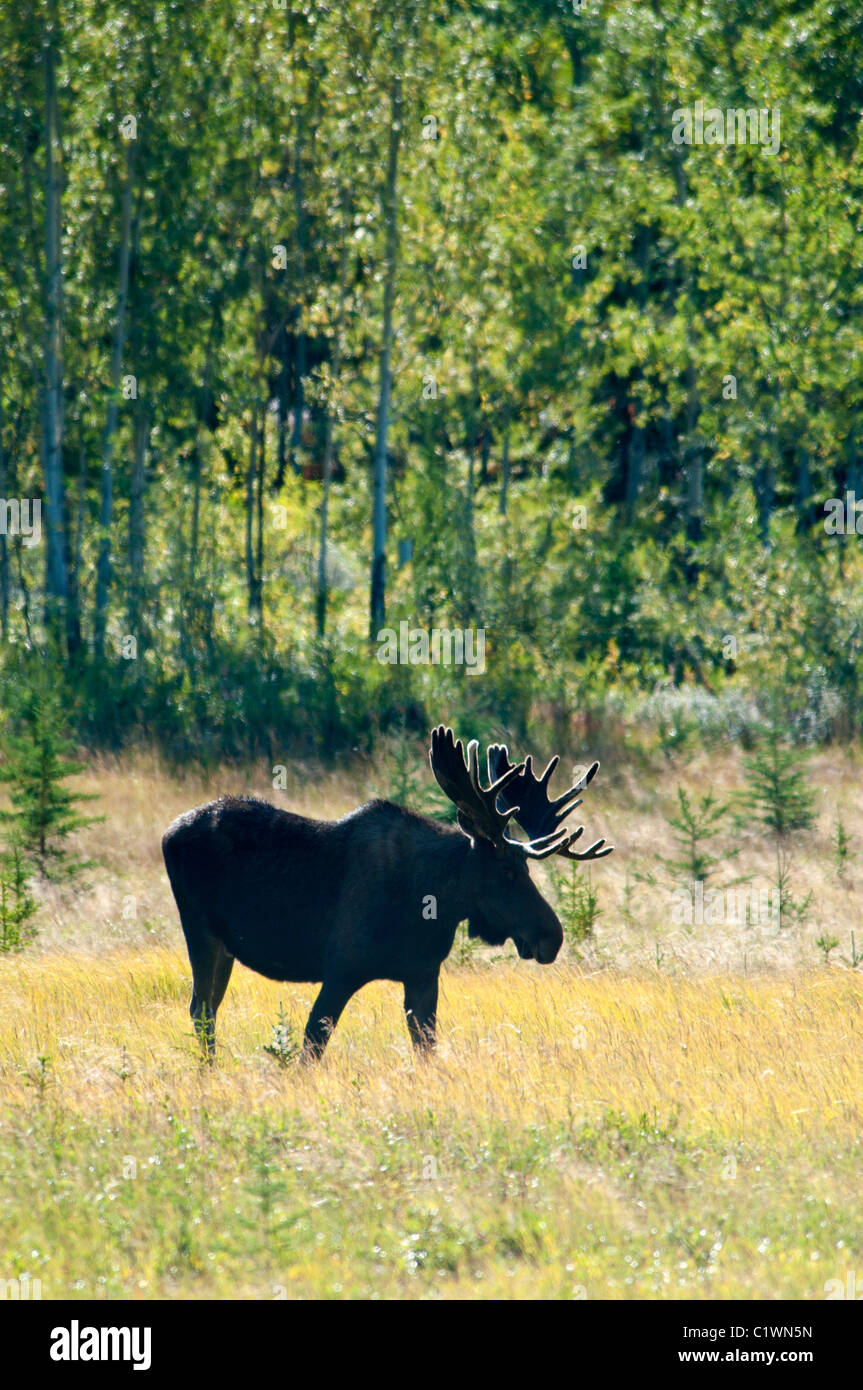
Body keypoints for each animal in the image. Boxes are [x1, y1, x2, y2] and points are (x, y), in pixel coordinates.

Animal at [161, 726, 613, 1062]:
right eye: (506, 870)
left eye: (527, 868)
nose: (551, 936)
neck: (432, 902)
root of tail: (169, 832)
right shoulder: (341, 969)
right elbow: (311, 1046)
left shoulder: (423, 974)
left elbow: (426, 1049)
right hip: (200, 930)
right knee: (201, 1009)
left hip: (225, 946)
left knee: (209, 1008)